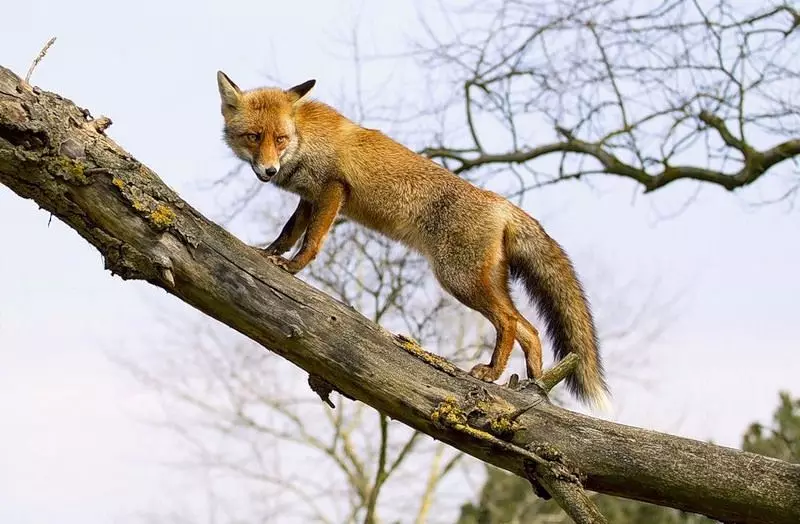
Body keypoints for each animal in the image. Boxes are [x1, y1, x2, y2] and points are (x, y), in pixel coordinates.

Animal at [216, 70, 608, 410]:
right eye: (254, 137)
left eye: (280, 139)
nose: (269, 171)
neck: (304, 139)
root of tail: (502, 203)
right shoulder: (310, 198)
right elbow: (288, 233)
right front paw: (267, 253)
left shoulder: (331, 188)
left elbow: (311, 241)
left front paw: (292, 267)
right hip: (484, 281)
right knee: (530, 329)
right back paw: (532, 384)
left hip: (459, 280)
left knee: (510, 323)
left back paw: (492, 373)